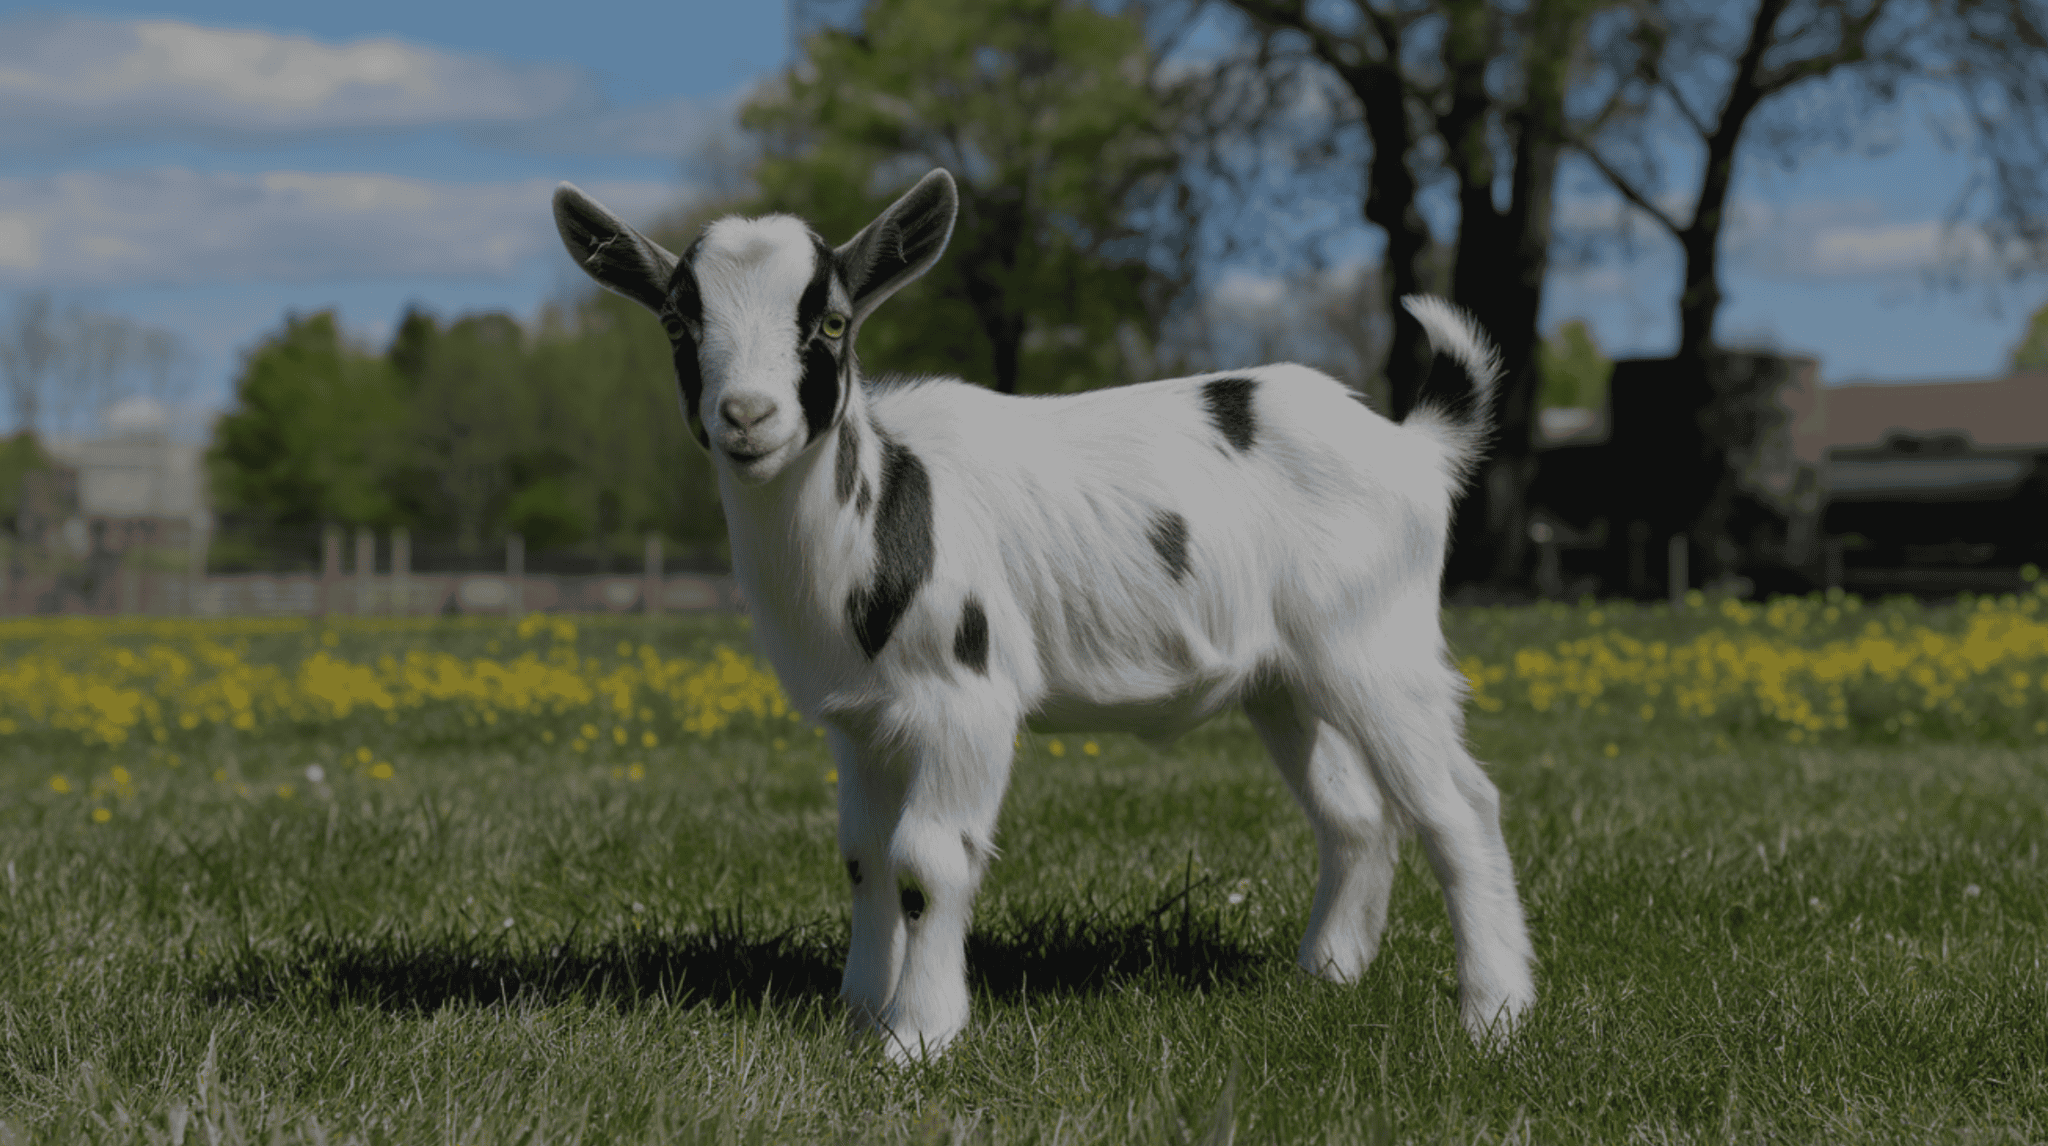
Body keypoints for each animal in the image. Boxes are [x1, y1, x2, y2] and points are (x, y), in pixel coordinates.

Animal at [551, 169, 1535, 1060]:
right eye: (678, 322)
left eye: (830, 321)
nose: (747, 416)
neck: (880, 512)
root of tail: (1414, 447)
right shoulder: (860, 722)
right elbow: (866, 856)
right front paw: (860, 1011)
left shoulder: (967, 697)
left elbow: (927, 858)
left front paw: (918, 1036)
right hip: (1287, 678)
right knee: (1355, 814)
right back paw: (1325, 978)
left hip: (1378, 643)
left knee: (1459, 804)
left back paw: (1494, 1015)